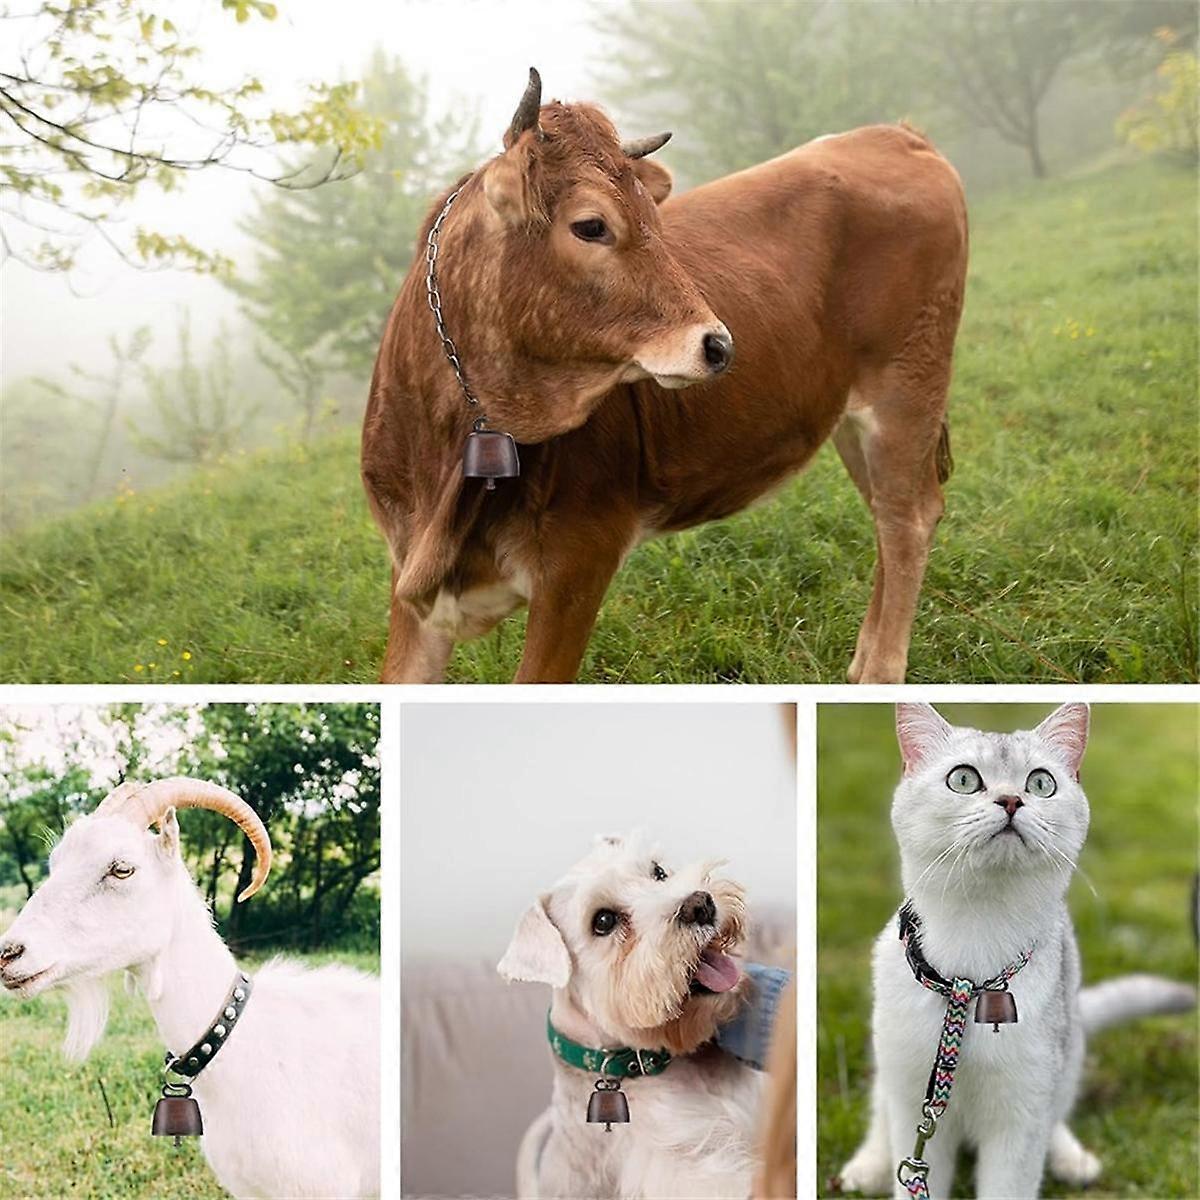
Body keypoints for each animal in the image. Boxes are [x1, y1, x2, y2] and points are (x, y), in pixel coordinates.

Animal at [362, 68, 968, 683]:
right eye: (591, 225)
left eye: (655, 223)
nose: (719, 344)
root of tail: (895, 134)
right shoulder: (408, 574)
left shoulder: (579, 561)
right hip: (851, 413)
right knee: (889, 513)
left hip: (907, 386)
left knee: (909, 518)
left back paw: (880, 672)